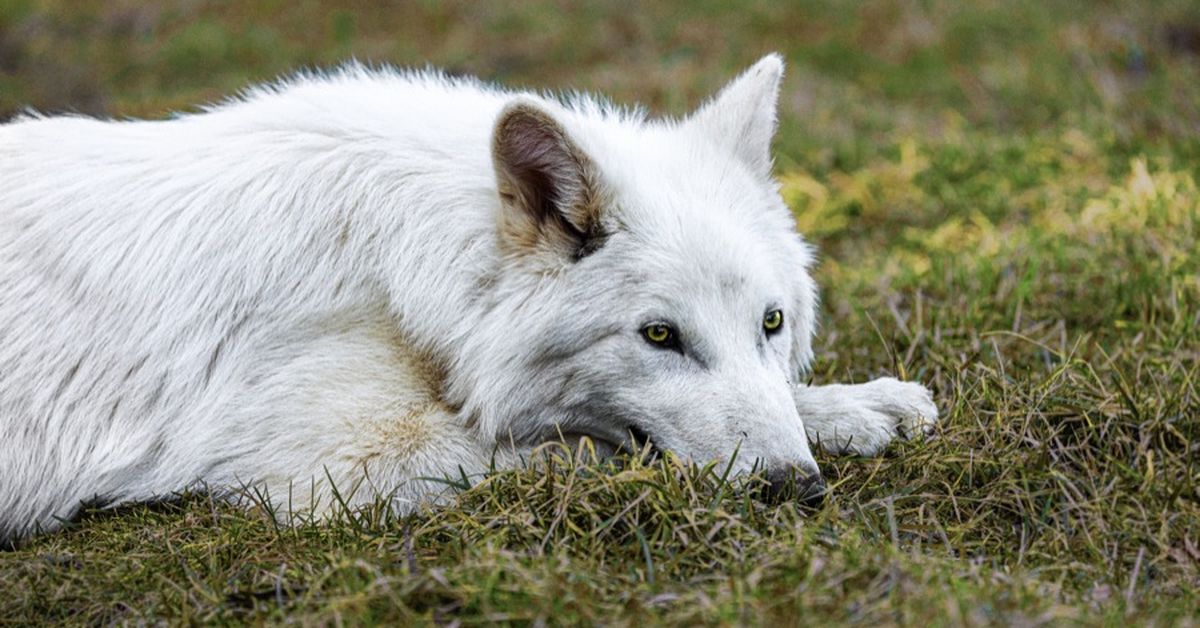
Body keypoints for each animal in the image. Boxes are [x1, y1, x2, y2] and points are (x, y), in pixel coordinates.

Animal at [0, 54, 937, 543]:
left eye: (771, 324)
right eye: (659, 336)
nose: (797, 489)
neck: (396, 264)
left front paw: (859, 407)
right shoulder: (334, 469)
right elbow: (591, 446)